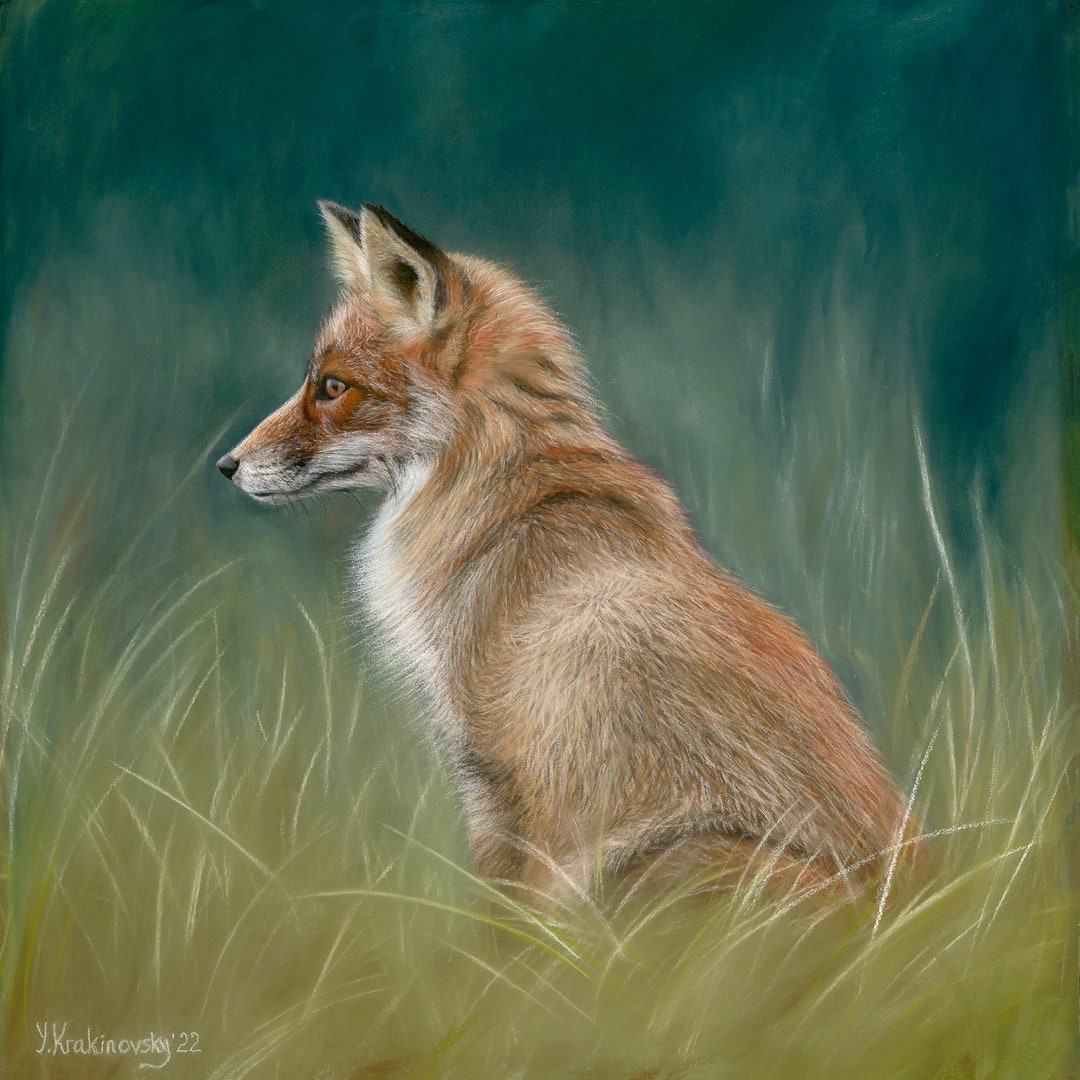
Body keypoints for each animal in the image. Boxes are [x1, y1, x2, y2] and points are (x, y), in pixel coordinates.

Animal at [218, 201, 918, 904]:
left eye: (334, 388)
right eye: (316, 383)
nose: (226, 465)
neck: (501, 507)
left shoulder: (498, 772)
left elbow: (510, 913)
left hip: (672, 860)